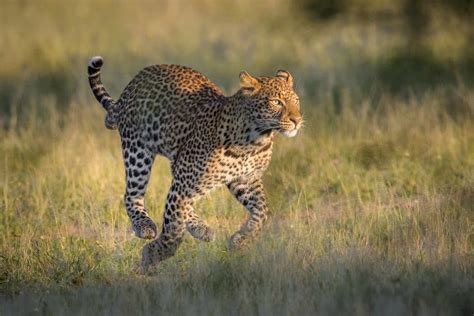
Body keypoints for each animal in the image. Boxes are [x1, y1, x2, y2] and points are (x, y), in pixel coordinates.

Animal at [88, 56, 304, 272]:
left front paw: (240, 240)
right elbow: (173, 229)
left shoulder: (246, 180)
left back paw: (199, 228)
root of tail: (133, 83)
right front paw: (153, 255)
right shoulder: (184, 182)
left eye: (296, 102)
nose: (297, 120)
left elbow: (262, 212)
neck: (255, 141)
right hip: (138, 152)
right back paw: (145, 225)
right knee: (132, 195)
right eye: (276, 102)